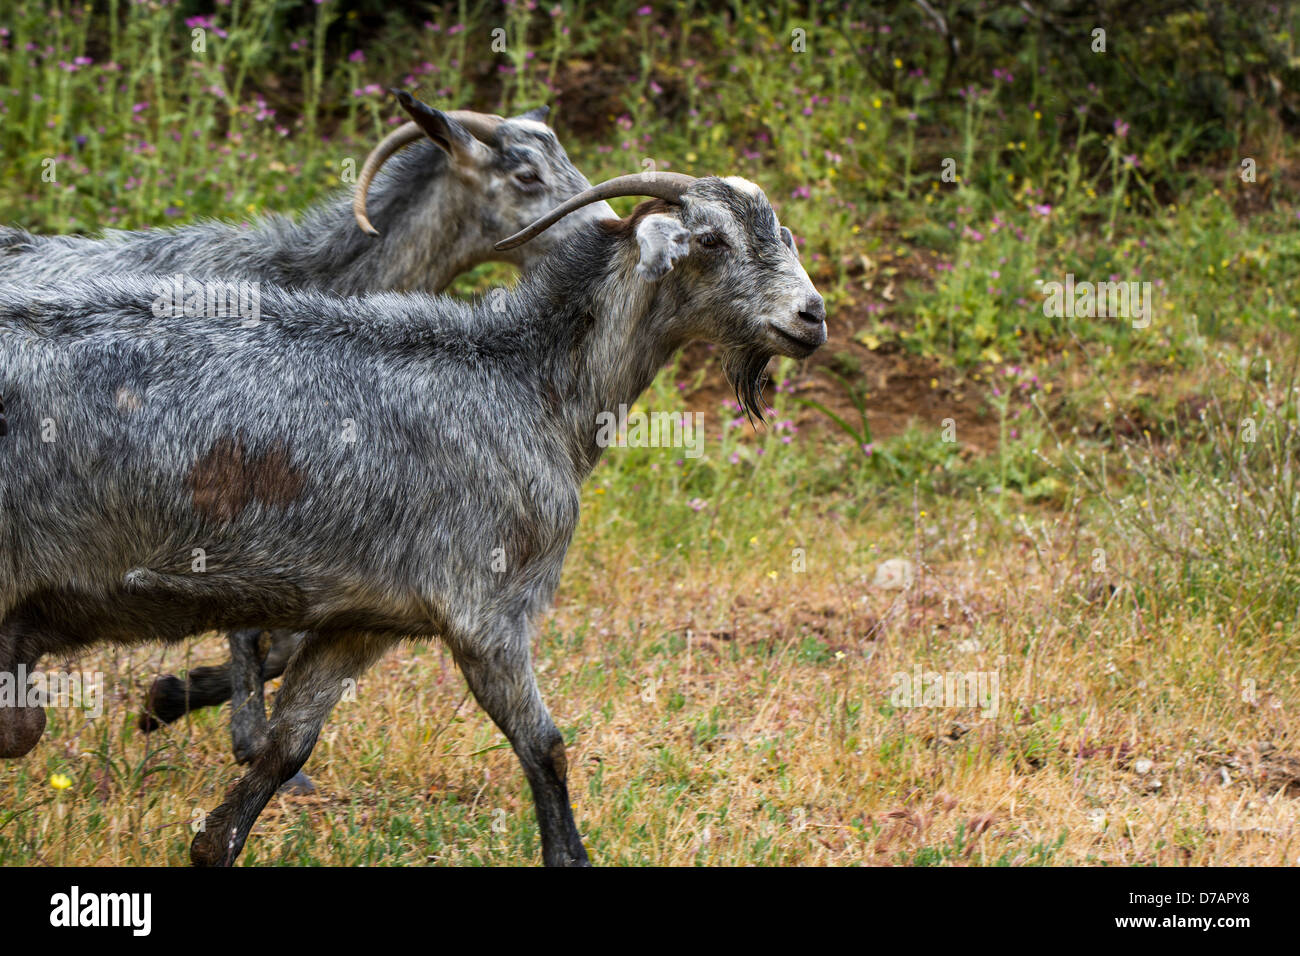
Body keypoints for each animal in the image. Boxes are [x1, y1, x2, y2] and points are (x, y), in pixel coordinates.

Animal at [0, 93, 612, 779]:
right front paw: (229, 731)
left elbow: (288, 639)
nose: (611, 223)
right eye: (526, 176)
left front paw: (178, 699)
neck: (308, 278)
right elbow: (253, 631)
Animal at [0, 165, 826, 866]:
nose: (811, 316)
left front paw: (202, 788)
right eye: (711, 240)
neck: (527, 383)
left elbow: (282, 753)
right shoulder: (485, 609)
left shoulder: (361, 621)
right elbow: (547, 747)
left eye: (782, 232)